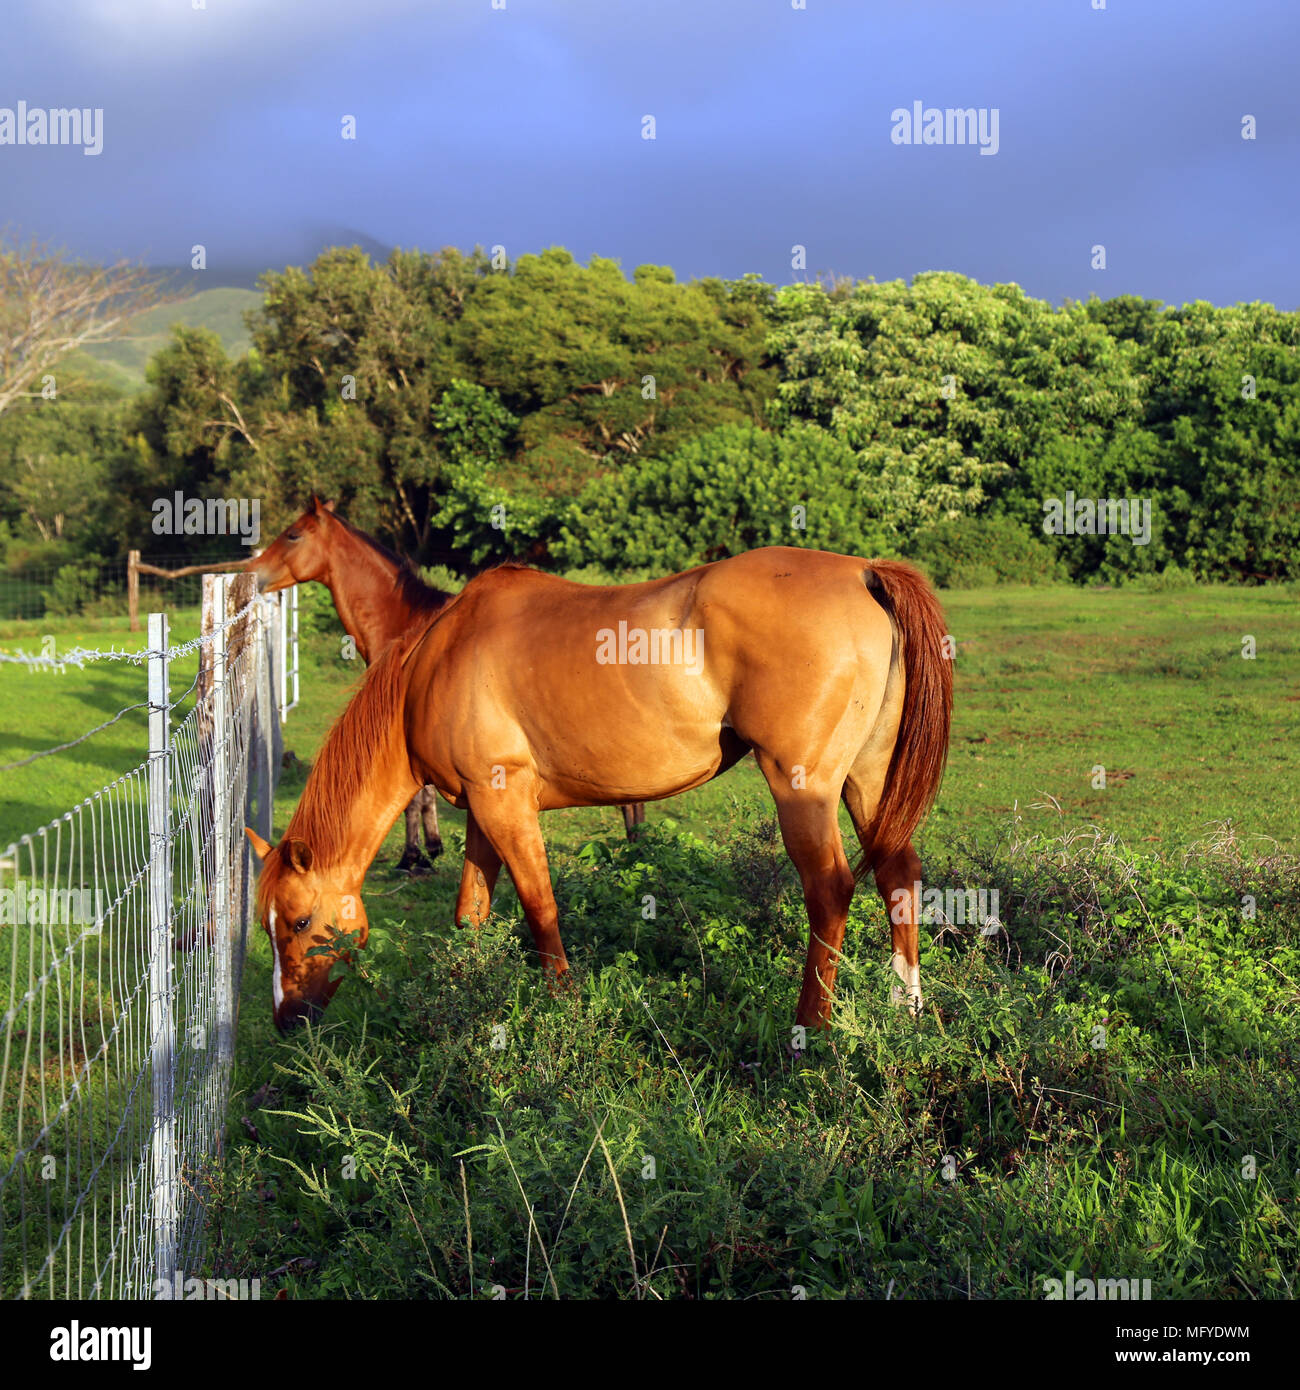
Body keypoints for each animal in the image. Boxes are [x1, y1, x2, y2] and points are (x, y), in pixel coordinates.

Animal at [246, 546, 952, 1034]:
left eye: (300, 921)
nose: (286, 1019)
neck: (433, 661)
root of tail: (862, 572)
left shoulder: (505, 805)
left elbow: (540, 909)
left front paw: (563, 1010)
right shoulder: (482, 809)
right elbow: (471, 914)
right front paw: (464, 1001)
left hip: (803, 787)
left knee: (830, 890)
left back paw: (810, 1031)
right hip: (868, 781)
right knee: (898, 873)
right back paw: (907, 1009)